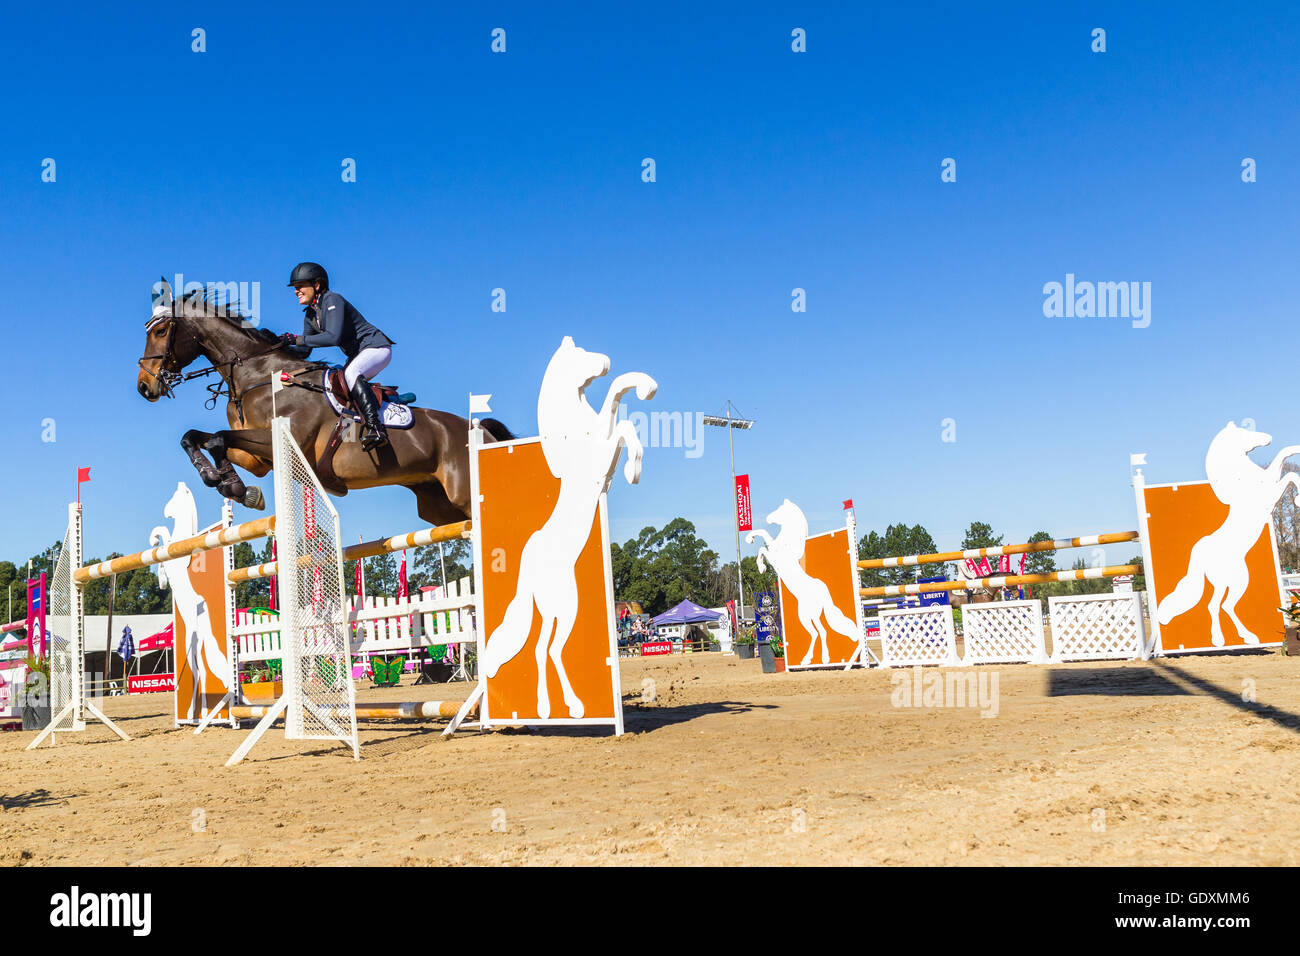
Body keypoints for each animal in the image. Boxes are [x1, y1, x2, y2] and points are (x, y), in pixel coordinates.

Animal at [136, 279, 512, 526]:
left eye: (160, 332)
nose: (144, 386)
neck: (257, 374)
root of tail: (482, 430)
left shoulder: (281, 442)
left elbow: (216, 438)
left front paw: (232, 486)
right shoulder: (258, 460)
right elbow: (197, 438)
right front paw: (231, 484)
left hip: (465, 495)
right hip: (438, 505)